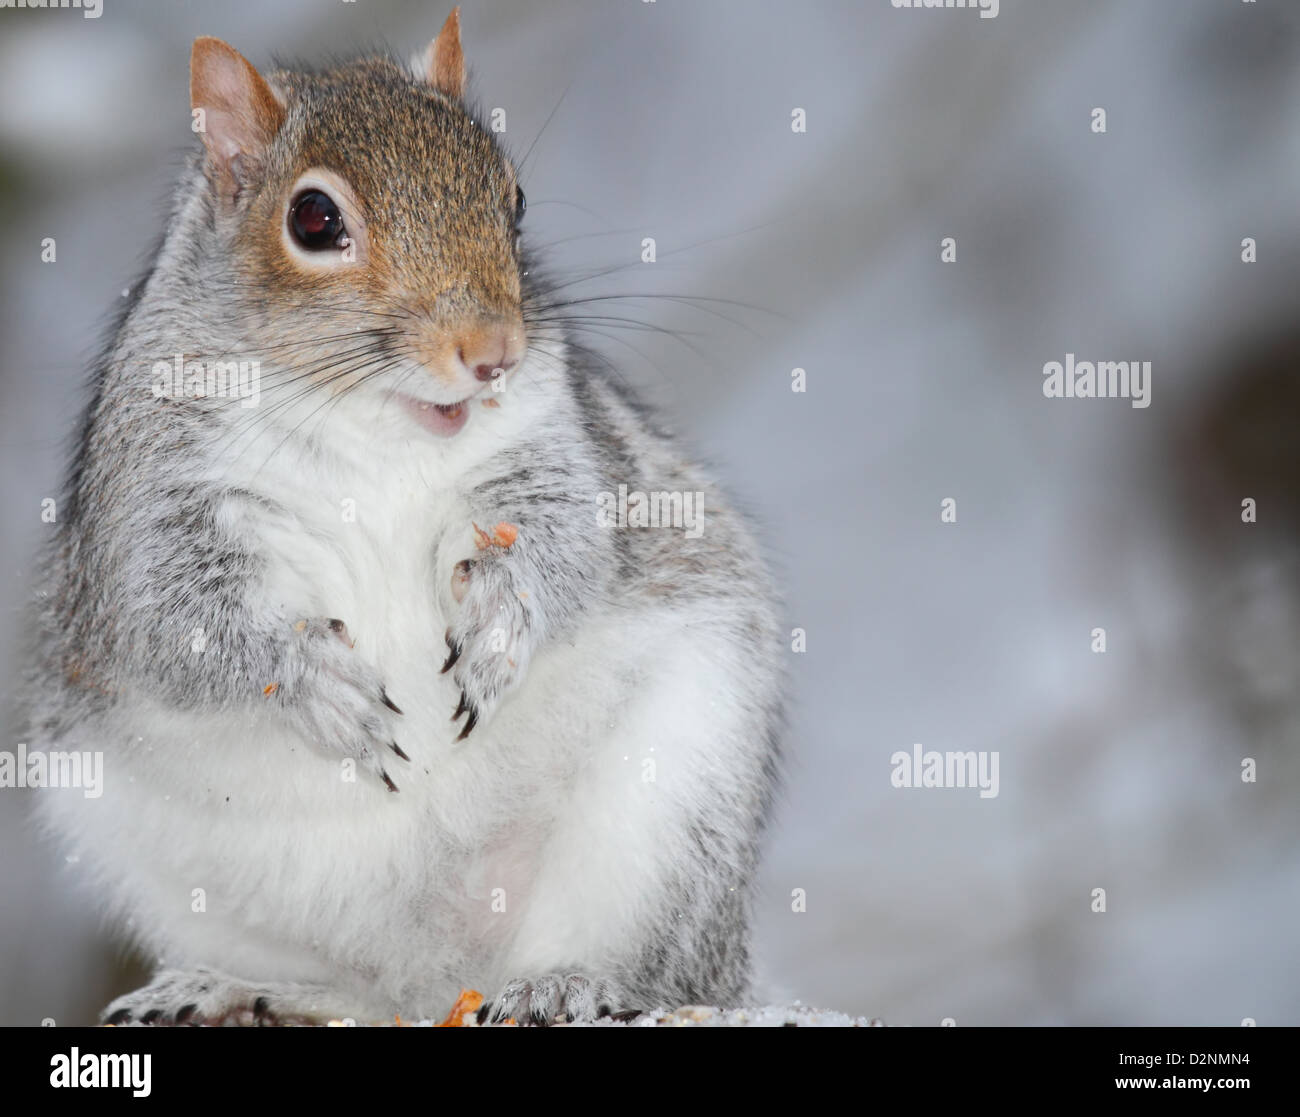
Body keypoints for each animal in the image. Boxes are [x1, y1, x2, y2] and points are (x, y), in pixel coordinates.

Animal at [24, 9, 783, 1026]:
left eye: (515, 198)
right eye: (314, 219)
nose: (493, 352)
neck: (375, 427)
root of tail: (437, 975)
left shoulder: (554, 445)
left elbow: (571, 546)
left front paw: (501, 625)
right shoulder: (148, 502)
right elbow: (174, 624)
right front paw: (312, 679)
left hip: (677, 788)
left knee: (649, 959)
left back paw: (567, 982)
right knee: (343, 988)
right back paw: (239, 986)